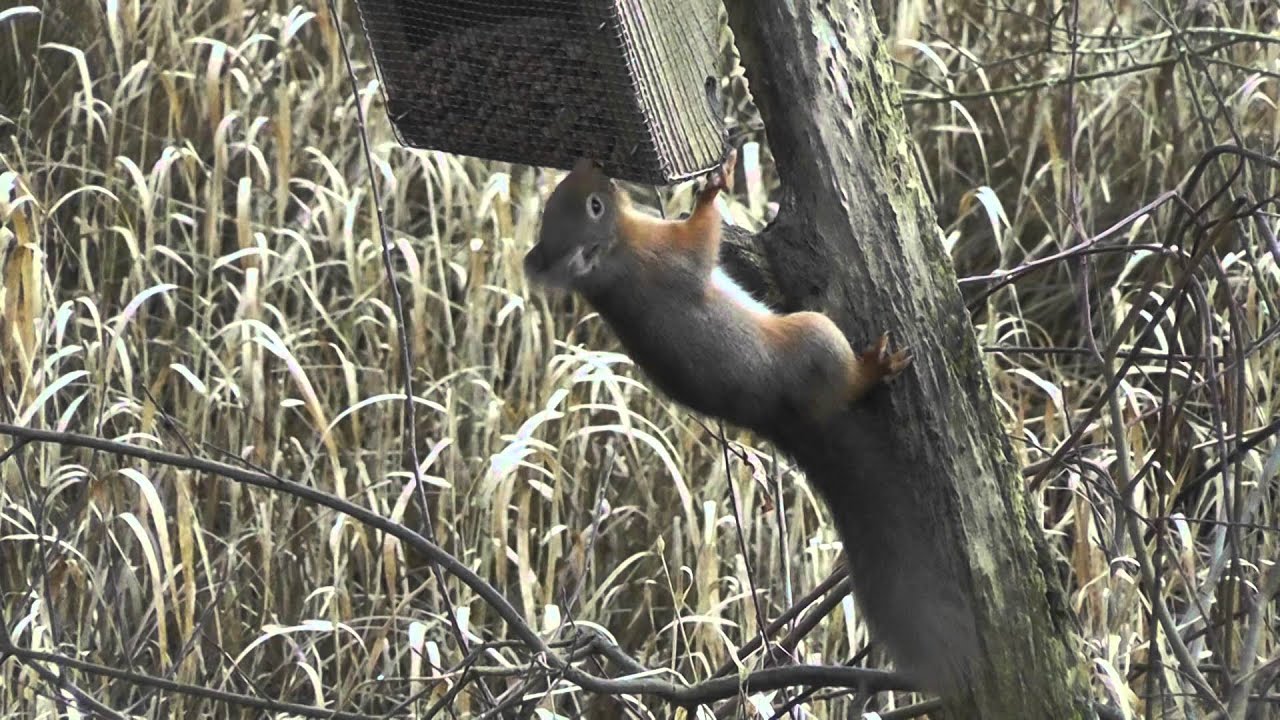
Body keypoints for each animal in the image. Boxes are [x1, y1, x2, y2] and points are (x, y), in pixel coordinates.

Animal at [523, 151, 980, 700]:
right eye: (595, 206)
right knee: (845, 377)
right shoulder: (667, 263)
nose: (592, 167)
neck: (615, 257)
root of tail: (786, 418)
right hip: (815, 337)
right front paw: (710, 189)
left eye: (570, 197)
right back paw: (875, 368)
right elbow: (700, 242)